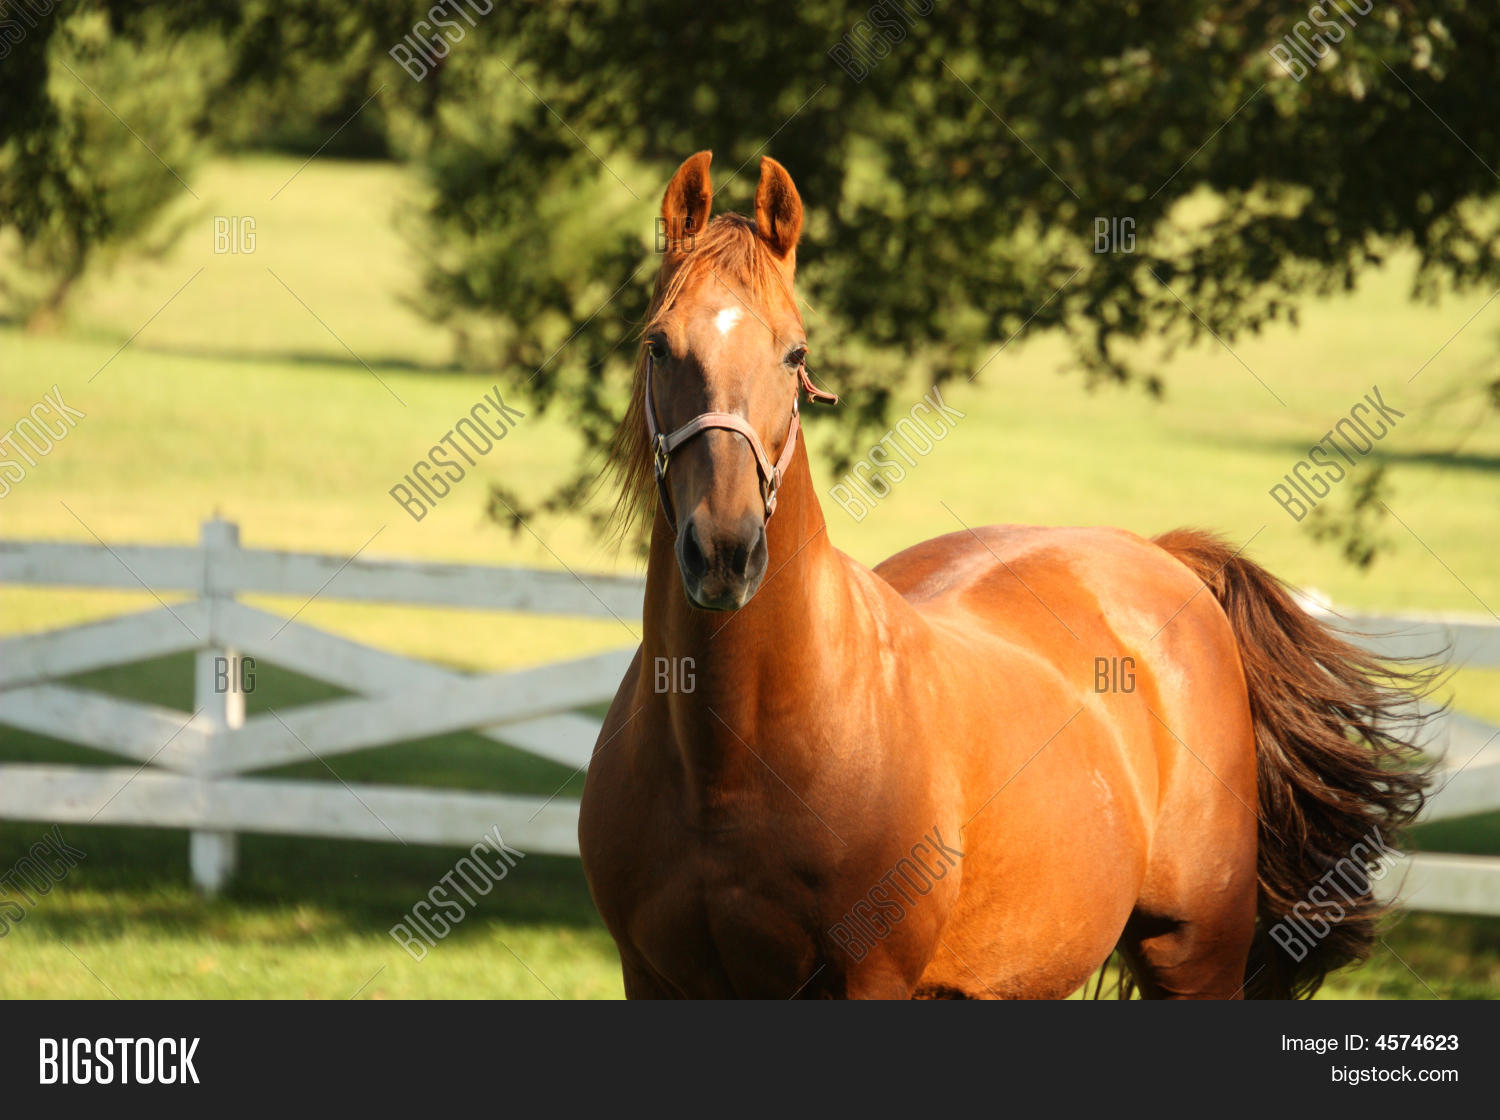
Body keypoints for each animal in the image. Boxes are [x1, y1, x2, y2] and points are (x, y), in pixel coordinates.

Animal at [577, 151, 1430, 999]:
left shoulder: (872, 980)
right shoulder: (650, 977)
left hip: (1197, 958)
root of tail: (1158, 553)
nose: (724, 549)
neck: (731, 758)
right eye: (658, 345)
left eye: (796, 354)